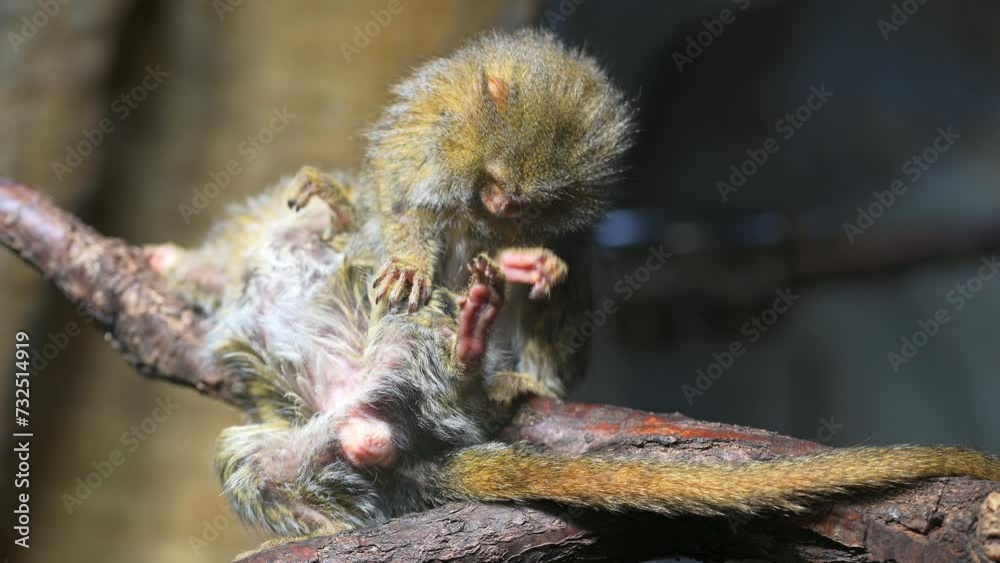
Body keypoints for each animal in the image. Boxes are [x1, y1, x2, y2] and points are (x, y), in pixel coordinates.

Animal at [147, 176, 999, 543]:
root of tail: (404, 439)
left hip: (414, 369)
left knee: (428, 344)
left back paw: (466, 345)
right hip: (310, 445)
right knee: (252, 458)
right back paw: (339, 484)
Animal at [360, 29, 636, 398]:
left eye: (530, 203)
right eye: (497, 178)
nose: (503, 205)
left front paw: (523, 264)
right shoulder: (427, 126)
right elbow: (403, 202)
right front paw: (409, 265)